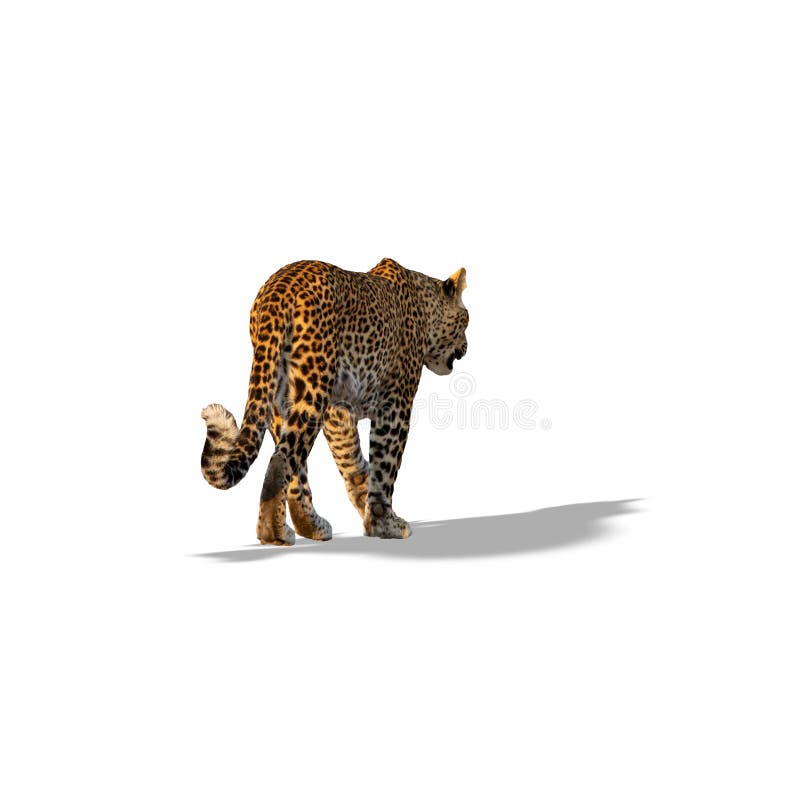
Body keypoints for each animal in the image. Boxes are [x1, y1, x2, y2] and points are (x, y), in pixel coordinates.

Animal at [200, 257, 469, 546]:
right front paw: (385, 523)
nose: (466, 347)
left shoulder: (338, 408)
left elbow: (350, 456)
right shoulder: (395, 403)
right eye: (466, 322)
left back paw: (309, 525)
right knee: (283, 457)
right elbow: (385, 462)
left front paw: (365, 500)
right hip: (313, 387)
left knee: (294, 465)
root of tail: (278, 290)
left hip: (278, 394)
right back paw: (274, 533)